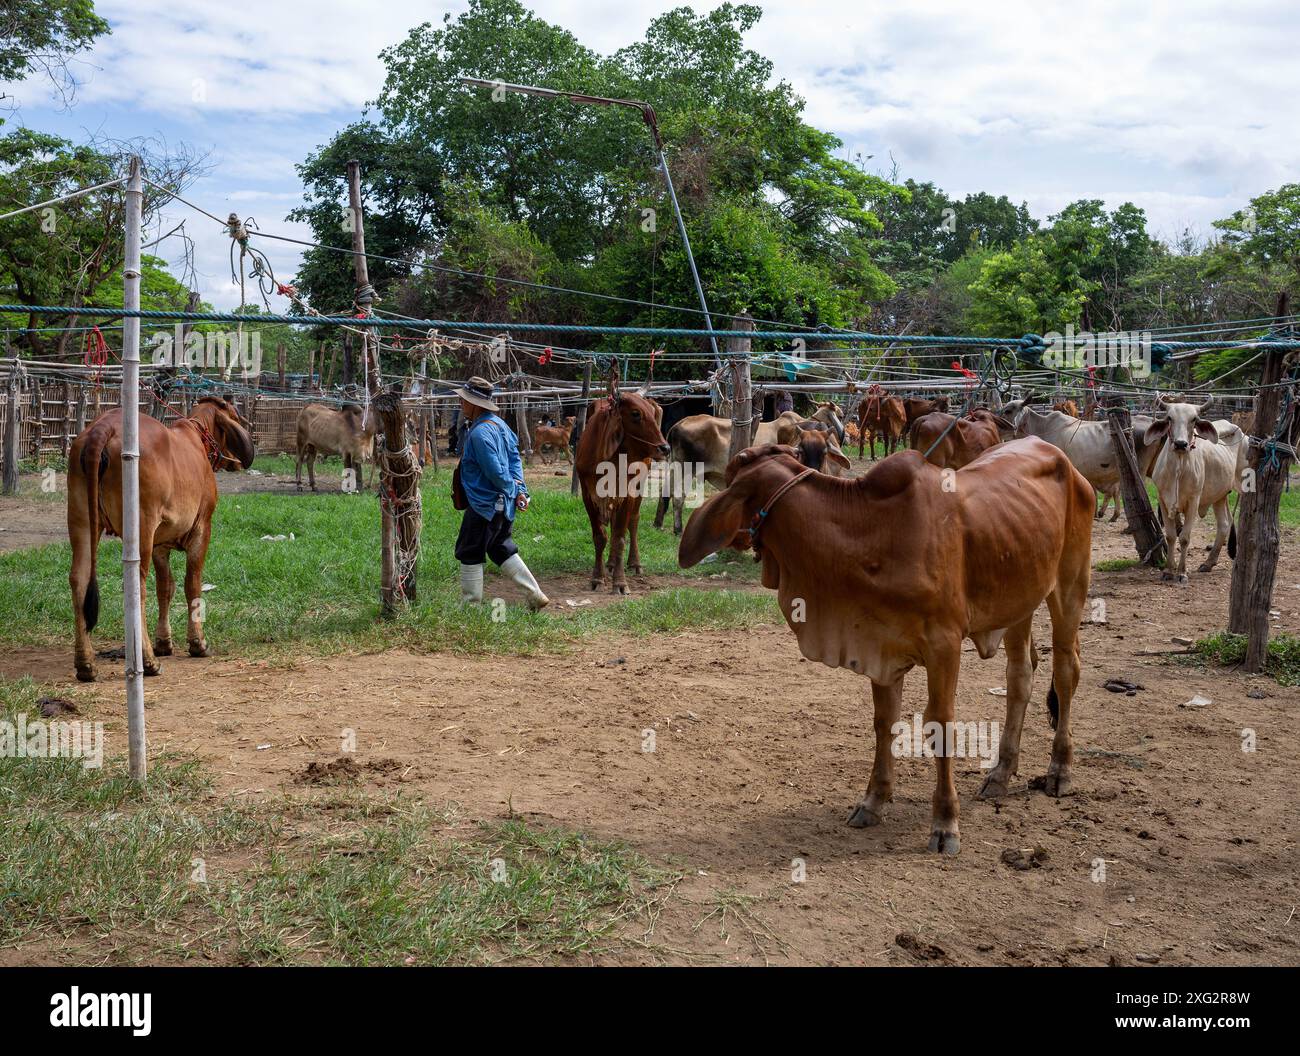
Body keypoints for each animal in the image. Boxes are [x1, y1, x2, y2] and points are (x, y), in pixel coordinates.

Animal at [67, 396, 256, 682]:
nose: (236, 462)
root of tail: (102, 428)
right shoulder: (202, 529)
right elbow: (191, 585)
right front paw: (197, 642)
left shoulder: (160, 544)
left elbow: (166, 588)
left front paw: (164, 642)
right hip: (141, 526)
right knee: (136, 586)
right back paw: (147, 661)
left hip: (81, 521)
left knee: (79, 579)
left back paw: (86, 663)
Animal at [576, 385, 671, 593]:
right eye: (636, 413)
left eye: (652, 412)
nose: (665, 448)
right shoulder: (588, 494)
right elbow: (600, 536)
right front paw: (598, 578)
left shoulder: (627, 493)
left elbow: (620, 537)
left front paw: (619, 583)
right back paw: (610, 564)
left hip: (640, 484)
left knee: (633, 521)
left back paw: (634, 563)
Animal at [653, 414, 851, 534]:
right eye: (801, 451)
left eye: (824, 452)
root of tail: (677, 426)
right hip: (686, 468)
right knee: (678, 497)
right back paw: (678, 529)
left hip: (675, 466)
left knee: (665, 491)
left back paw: (658, 523)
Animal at [678, 438, 1093, 854]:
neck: (869, 532)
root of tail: (1060, 456)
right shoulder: (879, 645)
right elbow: (884, 722)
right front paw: (873, 801)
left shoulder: (944, 644)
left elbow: (941, 723)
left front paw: (945, 823)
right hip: (1019, 601)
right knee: (1020, 677)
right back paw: (1001, 774)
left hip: (1070, 584)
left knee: (1066, 671)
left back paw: (1060, 770)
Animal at [1144, 398, 1248, 582]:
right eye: (1169, 418)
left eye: (1193, 419)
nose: (1180, 444)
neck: (1178, 467)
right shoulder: (1163, 500)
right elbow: (1170, 536)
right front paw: (1168, 570)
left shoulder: (1193, 501)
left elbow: (1185, 538)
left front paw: (1182, 573)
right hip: (1219, 495)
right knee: (1224, 524)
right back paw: (1208, 563)